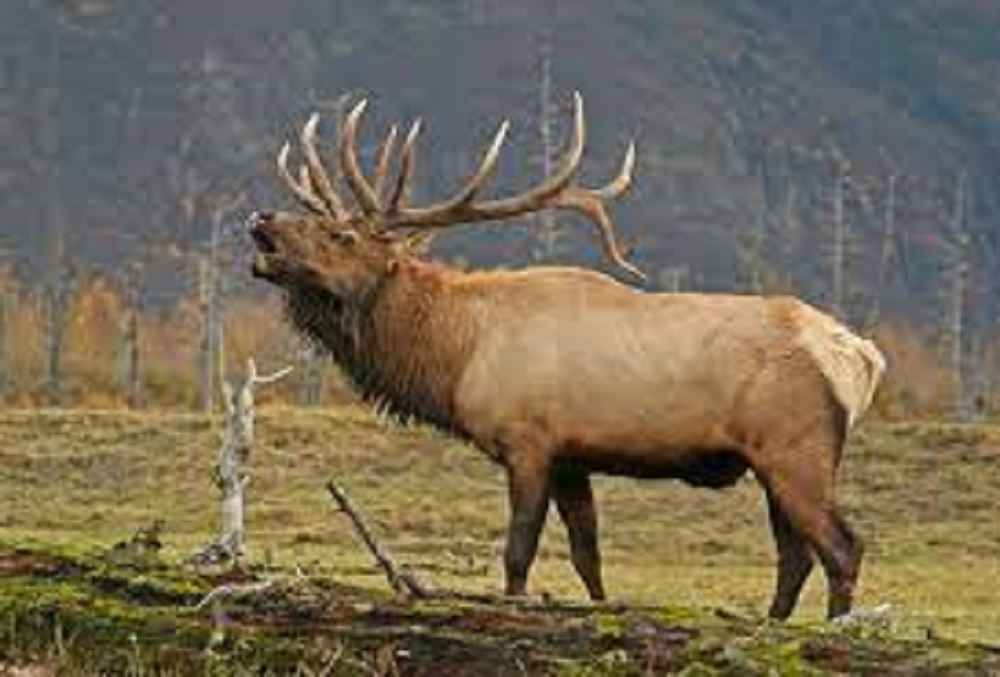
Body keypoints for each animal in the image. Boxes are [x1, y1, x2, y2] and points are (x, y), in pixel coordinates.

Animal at [247, 92, 885, 620]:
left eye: (343, 237)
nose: (262, 218)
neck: (457, 356)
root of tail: (860, 356)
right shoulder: (573, 458)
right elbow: (587, 556)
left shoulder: (528, 440)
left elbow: (518, 551)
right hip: (772, 460)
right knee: (795, 555)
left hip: (795, 447)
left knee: (842, 547)